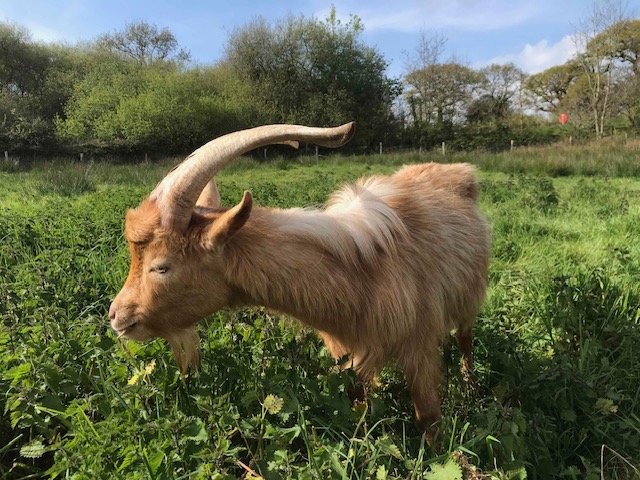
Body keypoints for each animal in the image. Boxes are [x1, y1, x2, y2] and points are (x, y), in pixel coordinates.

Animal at [108, 122, 490, 436]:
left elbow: (429, 417)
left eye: (161, 266)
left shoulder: (420, 346)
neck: (362, 274)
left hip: (471, 298)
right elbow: (358, 402)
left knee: (466, 339)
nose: (116, 316)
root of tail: (458, 169)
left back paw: (471, 385)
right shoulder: (346, 354)